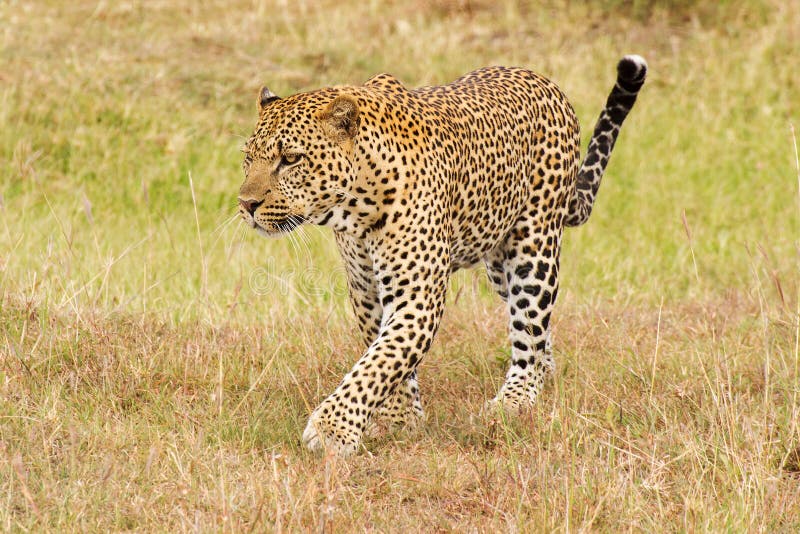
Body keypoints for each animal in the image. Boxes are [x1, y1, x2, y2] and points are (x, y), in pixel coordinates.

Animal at [238, 55, 647, 457]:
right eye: (248, 157)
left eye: (290, 159)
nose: (246, 204)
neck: (354, 206)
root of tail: (545, 81)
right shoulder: (366, 289)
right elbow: (385, 355)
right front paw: (401, 418)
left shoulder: (416, 294)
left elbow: (381, 360)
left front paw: (332, 430)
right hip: (498, 263)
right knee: (538, 328)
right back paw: (545, 373)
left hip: (534, 248)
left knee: (529, 329)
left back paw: (515, 399)